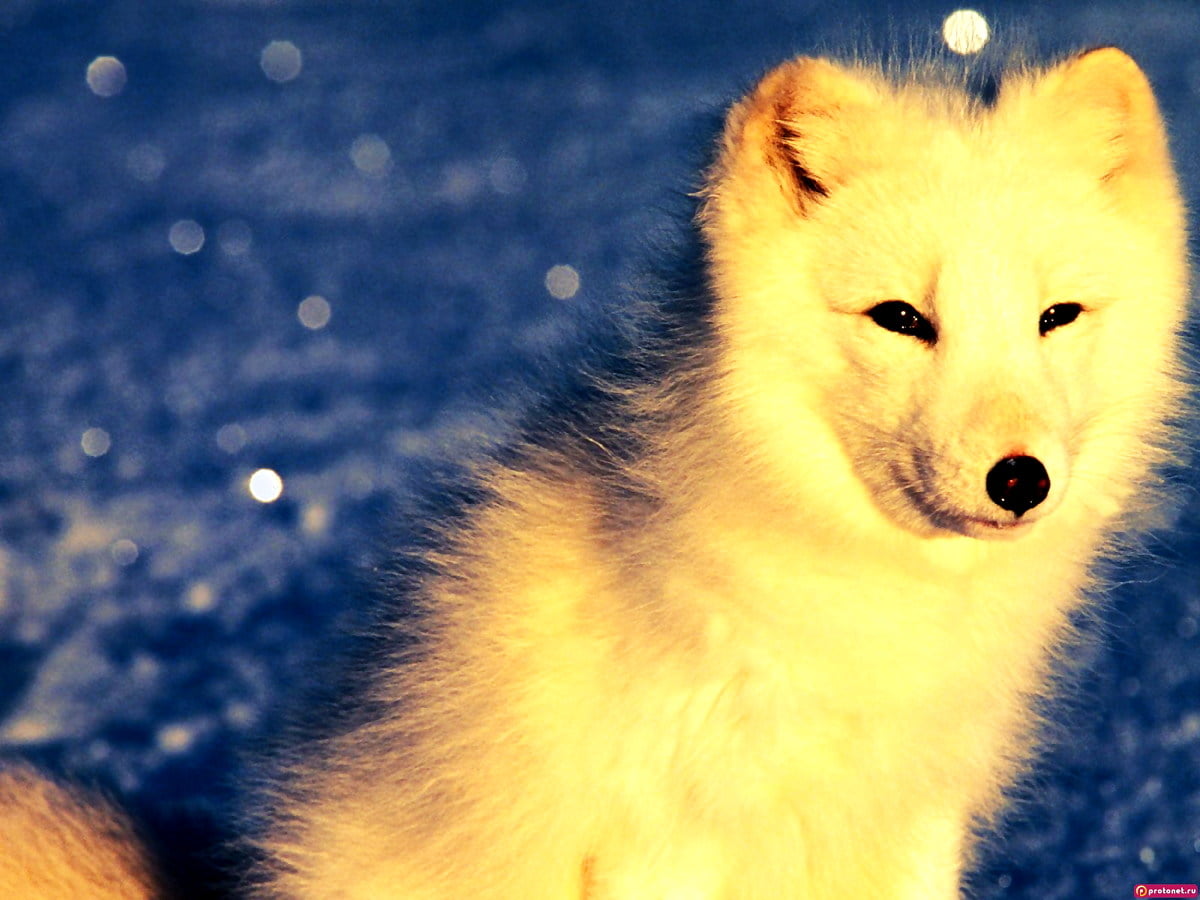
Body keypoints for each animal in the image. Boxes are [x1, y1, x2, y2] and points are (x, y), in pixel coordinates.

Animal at [0, 44, 1189, 900]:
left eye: (1057, 316)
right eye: (901, 319)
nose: (1020, 479)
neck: (866, 605)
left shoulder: (913, 825)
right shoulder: (656, 843)